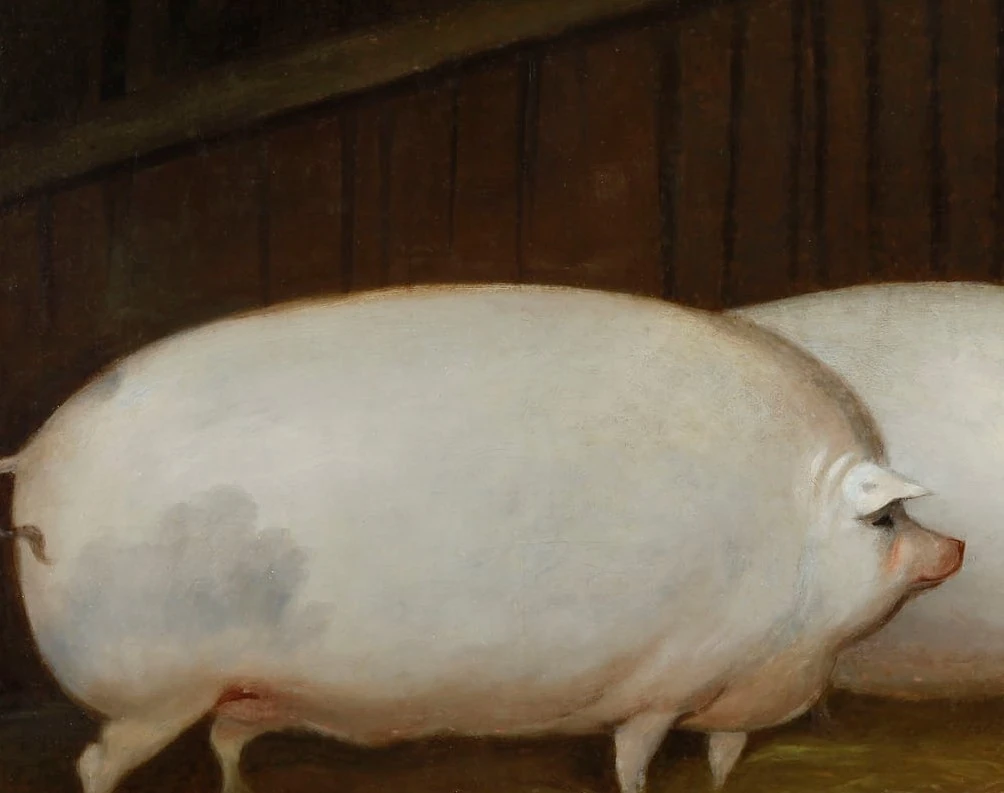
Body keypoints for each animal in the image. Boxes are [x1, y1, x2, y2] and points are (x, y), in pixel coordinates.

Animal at [0, 284, 961, 793]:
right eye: (885, 518)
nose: (952, 547)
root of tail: (35, 457)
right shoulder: (670, 676)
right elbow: (634, 757)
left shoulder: (722, 695)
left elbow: (721, 757)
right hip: (150, 689)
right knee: (93, 761)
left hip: (225, 692)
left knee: (225, 744)